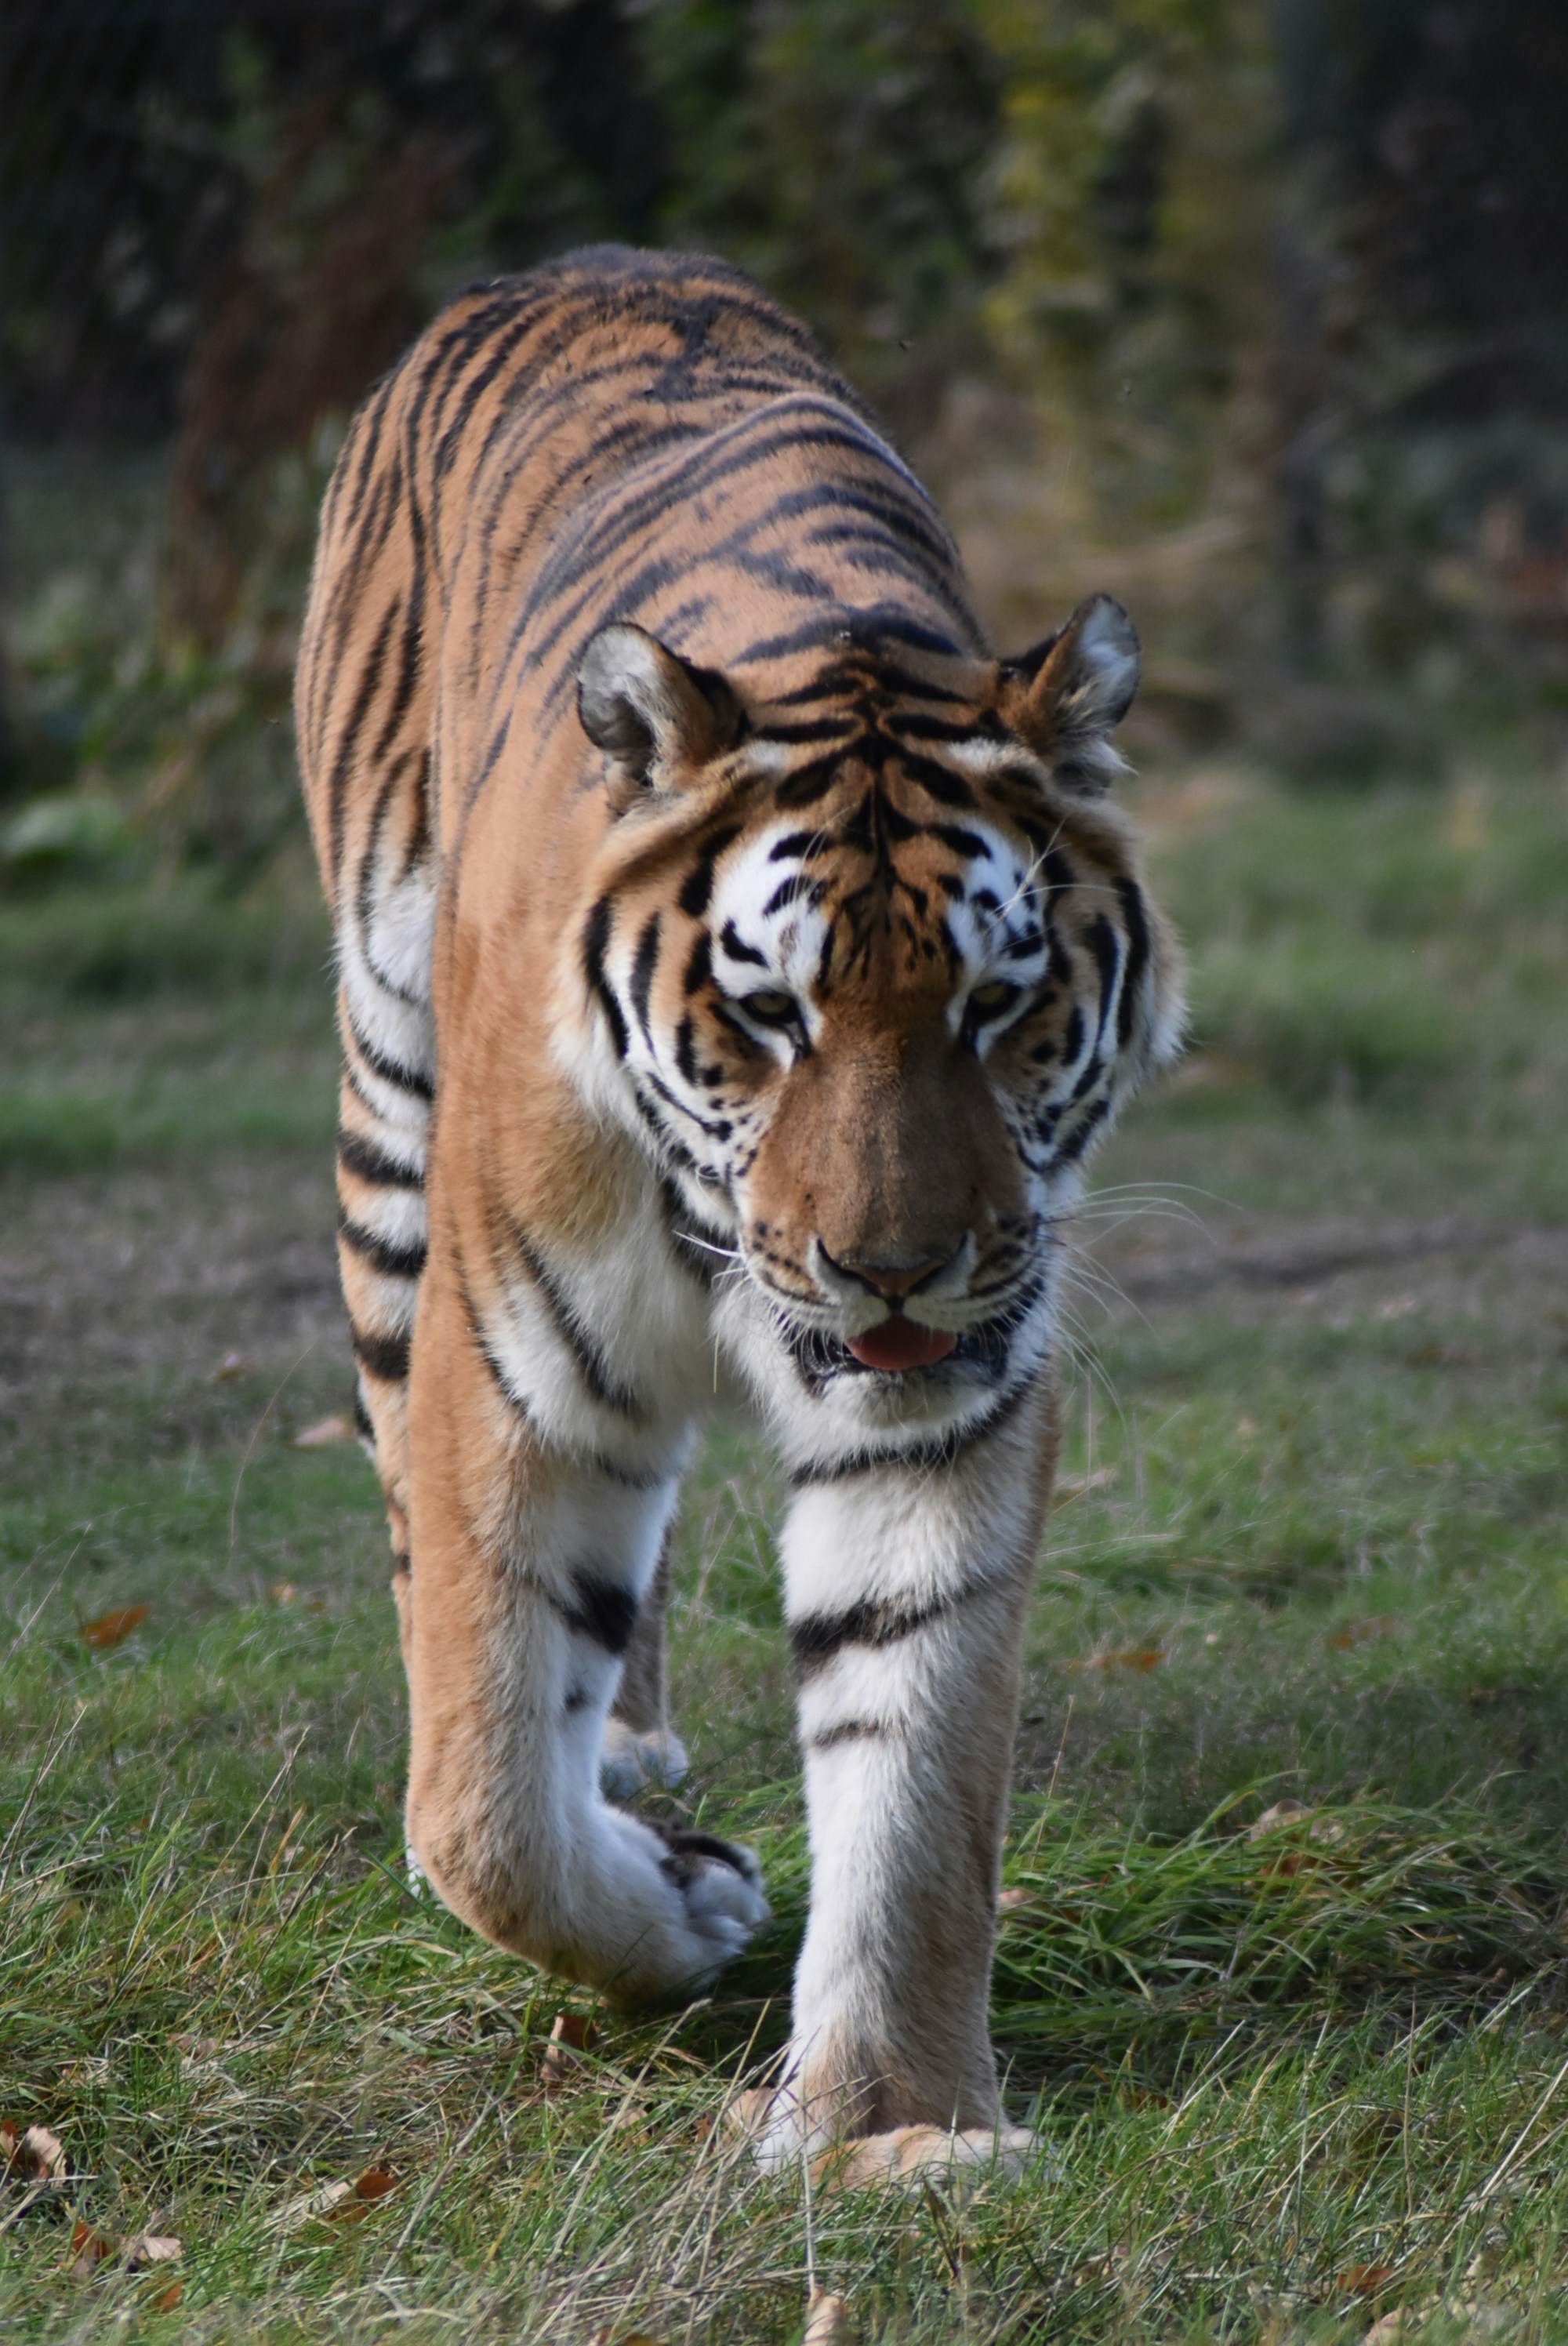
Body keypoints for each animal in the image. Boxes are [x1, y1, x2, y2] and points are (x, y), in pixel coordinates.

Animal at [295, 244, 1183, 2180]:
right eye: (768, 1014)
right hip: (388, 1129)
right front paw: (685, 1915)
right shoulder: (510, 1365)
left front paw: (892, 2129)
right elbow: (484, 1797)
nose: (893, 1271)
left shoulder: (953, 1400)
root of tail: (583, 259)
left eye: (997, 1006)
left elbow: (912, 1758)